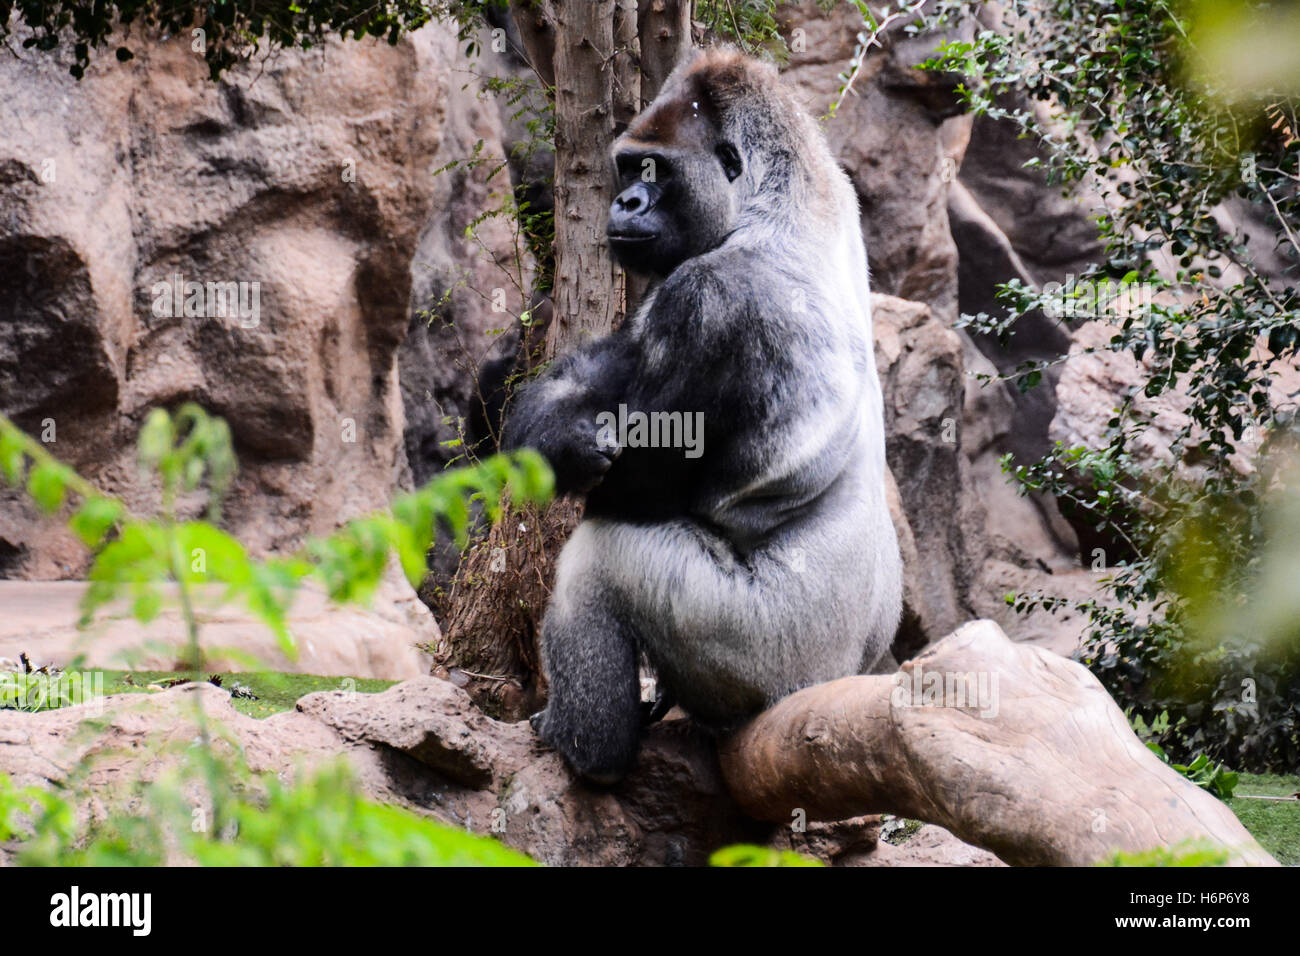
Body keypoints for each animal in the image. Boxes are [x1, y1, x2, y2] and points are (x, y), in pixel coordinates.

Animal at [501, 49, 902, 784]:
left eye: (654, 171)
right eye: (629, 167)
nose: (624, 201)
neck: (782, 199)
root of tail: (829, 684)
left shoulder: (710, 297)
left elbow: (631, 486)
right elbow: (596, 373)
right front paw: (557, 431)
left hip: (765, 662)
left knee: (600, 557)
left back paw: (588, 749)